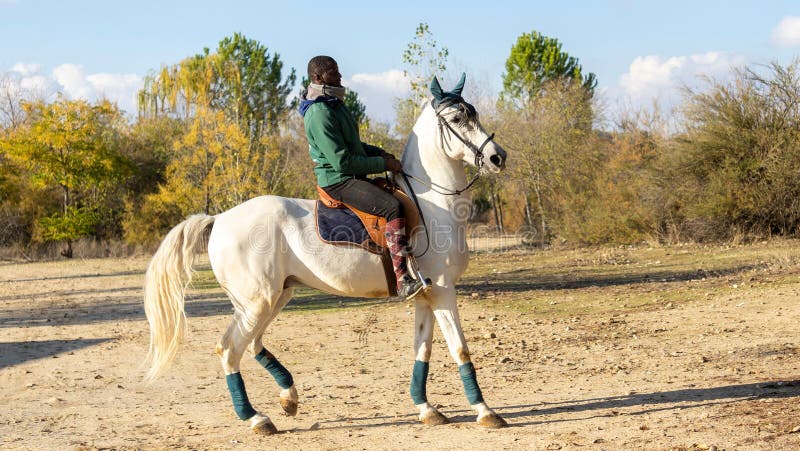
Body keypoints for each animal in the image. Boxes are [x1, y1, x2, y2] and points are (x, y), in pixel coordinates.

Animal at [143, 74, 510, 434]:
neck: (431, 201)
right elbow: (460, 349)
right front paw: (485, 411)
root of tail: (218, 219)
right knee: (230, 349)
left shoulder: (427, 295)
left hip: (273, 298)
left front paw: (426, 409)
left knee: (252, 344)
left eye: (474, 113)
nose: (497, 157)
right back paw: (257, 418)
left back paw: (288, 397)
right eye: (457, 119)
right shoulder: (444, 290)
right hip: (257, 302)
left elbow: (423, 350)